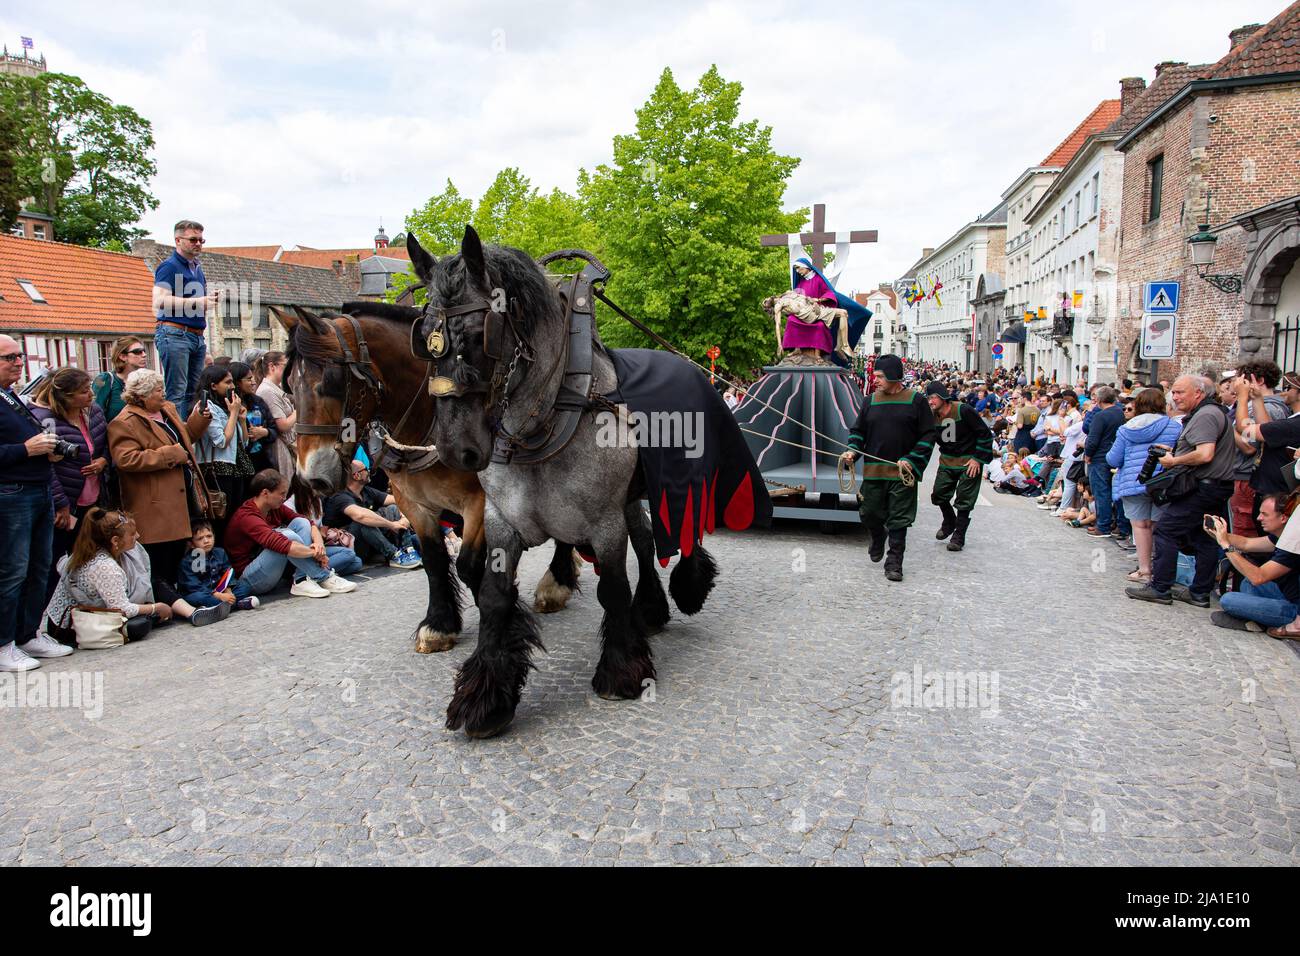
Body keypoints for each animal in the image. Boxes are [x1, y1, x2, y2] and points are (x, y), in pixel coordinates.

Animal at [270, 302, 582, 654]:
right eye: (289, 386)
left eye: (332, 381)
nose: (312, 476)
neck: (430, 421)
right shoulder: (414, 505)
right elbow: (435, 561)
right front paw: (440, 624)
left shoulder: (478, 503)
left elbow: (468, 565)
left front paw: (507, 619)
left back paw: (556, 582)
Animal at [409, 227, 768, 739]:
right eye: (424, 339)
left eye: (482, 334)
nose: (458, 449)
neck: (553, 416)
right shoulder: (500, 521)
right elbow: (495, 597)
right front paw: (485, 698)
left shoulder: (602, 521)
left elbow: (612, 588)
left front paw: (621, 672)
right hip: (633, 496)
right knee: (646, 537)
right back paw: (651, 609)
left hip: (684, 481)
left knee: (686, 530)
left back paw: (687, 588)